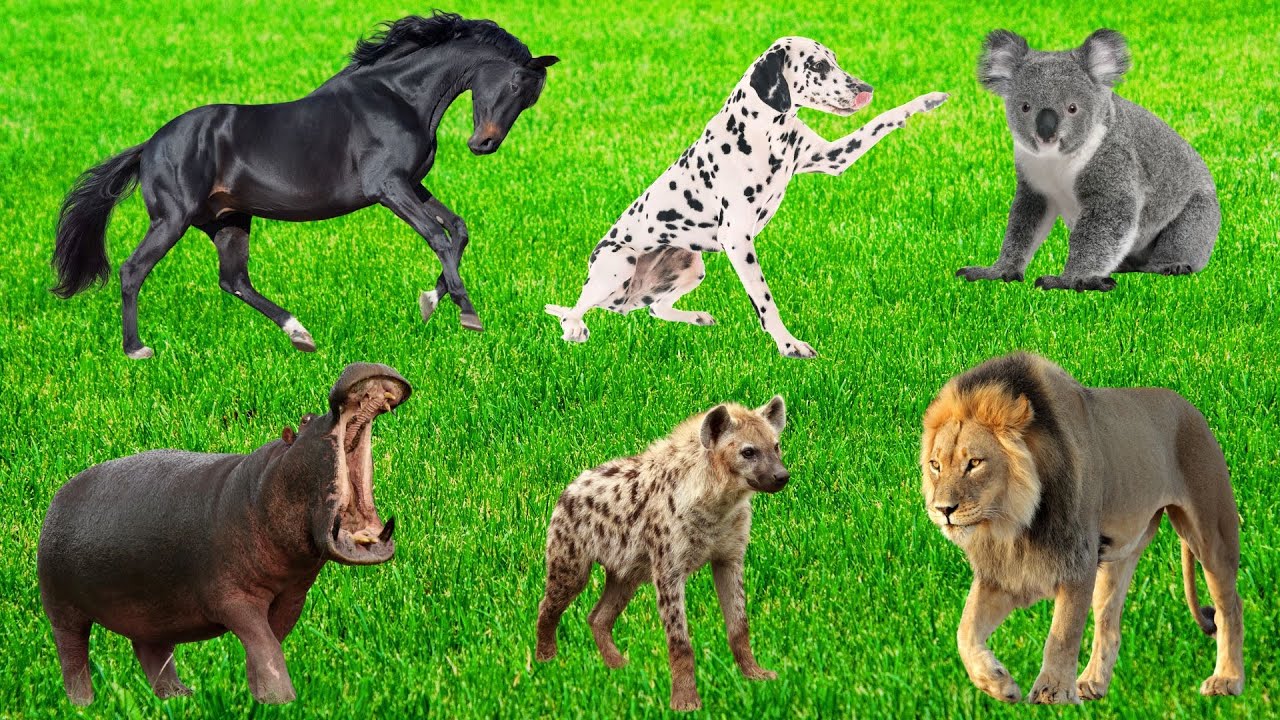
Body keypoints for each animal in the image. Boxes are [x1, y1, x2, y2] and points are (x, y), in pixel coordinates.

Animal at [37, 362, 410, 705]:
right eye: (305, 419)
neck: (263, 487)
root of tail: (56, 498)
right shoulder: (233, 598)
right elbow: (266, 646)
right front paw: (284, 701)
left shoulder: (292, 596)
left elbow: (267, 644)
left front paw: (260, 699)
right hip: (62, 608)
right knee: (73, 655)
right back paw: (83, 704)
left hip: (150, 608)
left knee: (152, 651)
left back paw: (179, 697)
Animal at [51, 12, 558, 359]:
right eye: (516, 83)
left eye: (530, 98)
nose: (483, 144)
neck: (397, 97)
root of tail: (149, 146)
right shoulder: (388, 187)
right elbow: (438, 236)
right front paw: (466, 313)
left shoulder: (412, 184)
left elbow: (458, 230)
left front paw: (432, 301)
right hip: (172, 218)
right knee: (134, 269)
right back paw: (137, 349)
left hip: (228, 221)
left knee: (234, 281)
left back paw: (301, 335)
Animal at [919, 352, 1243, 704]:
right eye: (936, 465)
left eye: (975, 463)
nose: (942, 510)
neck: (1014, 523)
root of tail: (1190, 407)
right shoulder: (1006, 573)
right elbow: (964, 630)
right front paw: (999, 683)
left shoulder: (1077, 559)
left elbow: (1063, 631)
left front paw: (1052, 694)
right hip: (1118, 556)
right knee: (1109, 625)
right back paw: (1092, 683)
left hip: (1212, 533)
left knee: (1230, 607)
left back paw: (1227, 680)